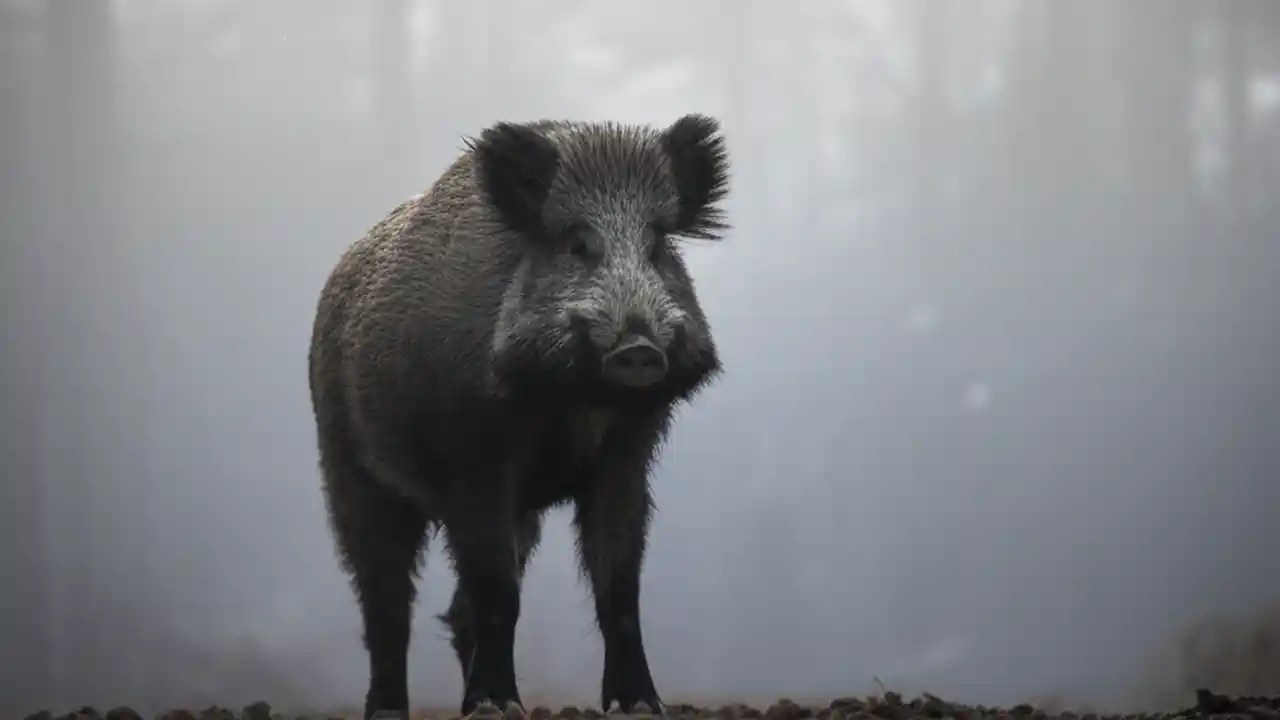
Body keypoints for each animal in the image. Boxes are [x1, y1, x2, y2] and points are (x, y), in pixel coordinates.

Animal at [307, 114, 729, 720]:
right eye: (578, 243)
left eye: (656, 246)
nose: (639, 348)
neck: (572, 400)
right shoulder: (474, 461)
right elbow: (498, 590)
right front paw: (497, 705)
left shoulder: (625, 458)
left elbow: (620, 587)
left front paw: (641, 705)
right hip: (350, 468)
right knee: (386, 602)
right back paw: (392, 708)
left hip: (520, 514)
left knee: (455, 611)